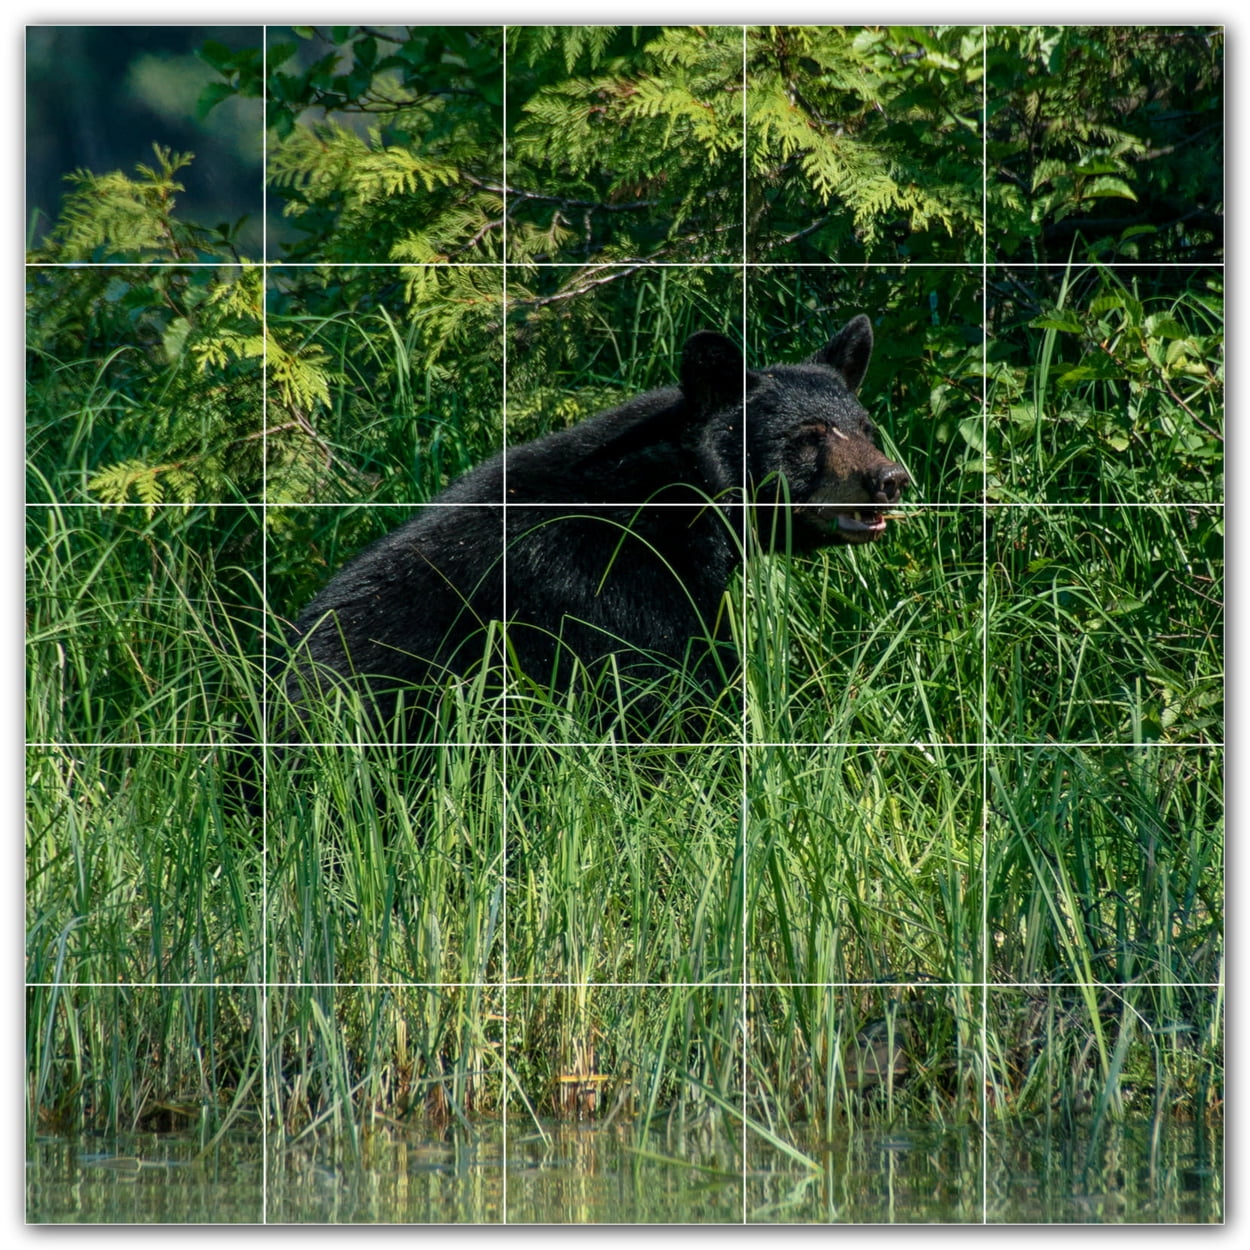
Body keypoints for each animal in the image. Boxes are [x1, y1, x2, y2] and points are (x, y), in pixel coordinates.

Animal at [282, 316, 909, 741]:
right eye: (809, 436)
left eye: (866, 427)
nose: (891, 479)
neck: (675, 499)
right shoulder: (615, 588)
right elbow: (674, 691)